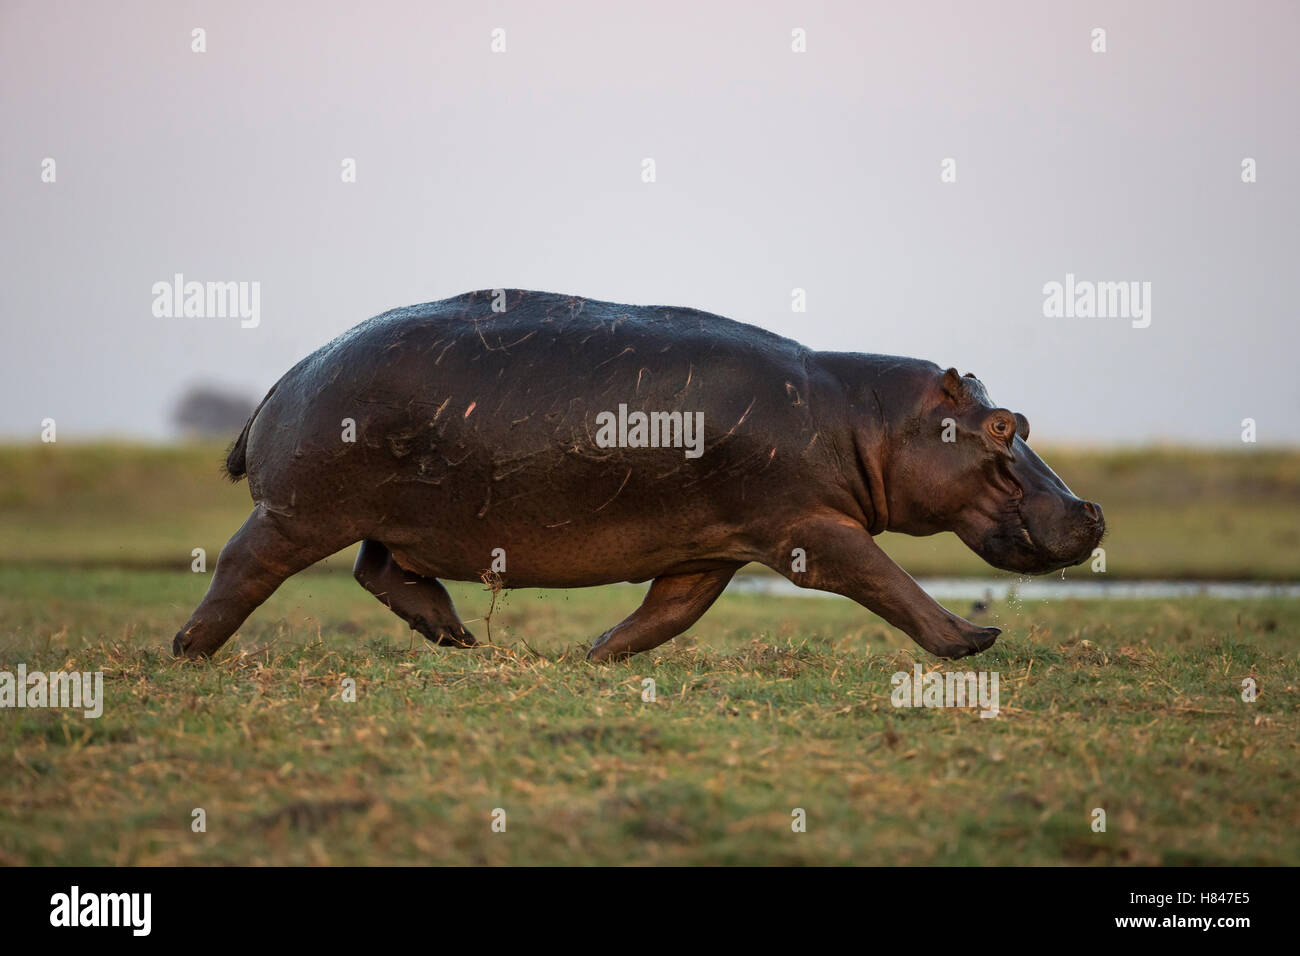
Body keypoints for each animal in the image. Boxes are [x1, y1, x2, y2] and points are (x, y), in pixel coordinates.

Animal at [173, 289, 1104, 662]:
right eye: (1002, 426)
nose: (1093, 512)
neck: (866, 419)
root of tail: (282, 381)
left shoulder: (713, 548)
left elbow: (667, 614)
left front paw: (593, 655)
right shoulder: (807, 527)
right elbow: (884, 578)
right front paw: (975, 639)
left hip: (392, 516)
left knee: (380, 569)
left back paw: (458, 637)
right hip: (300, 511)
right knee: (245, 563)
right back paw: (188, 651)